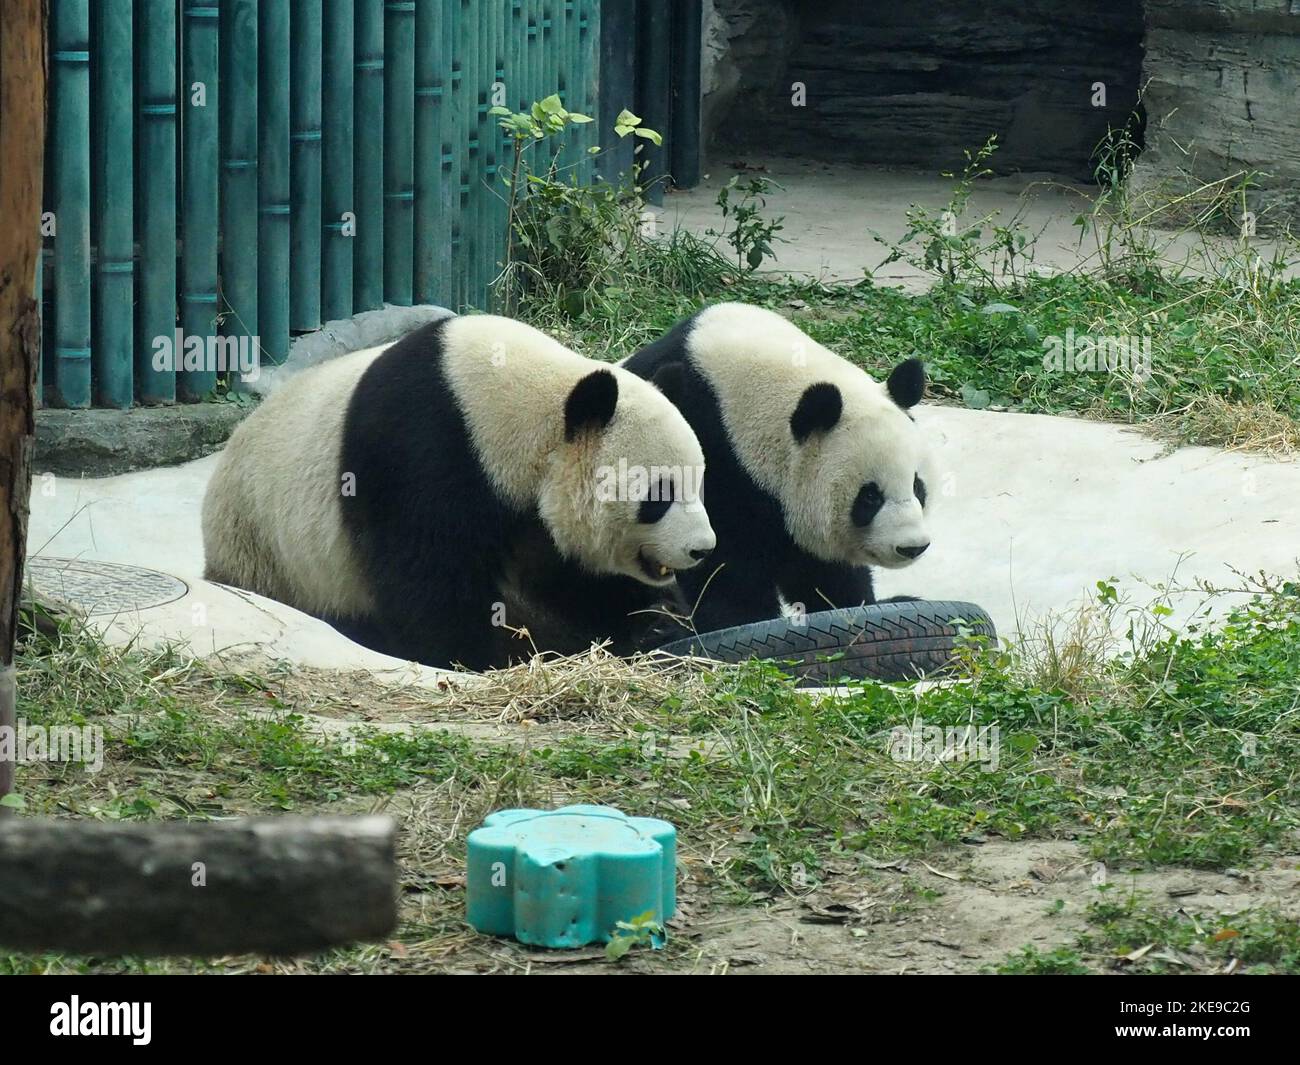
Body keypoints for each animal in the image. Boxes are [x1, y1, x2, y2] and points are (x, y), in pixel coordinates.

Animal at [202, 314, 717, 670]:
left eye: (698, 483)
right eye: (659, 495)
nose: (702, 549)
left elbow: (569, 576)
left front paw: (656, 620)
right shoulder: (424, 452)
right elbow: (428, 580)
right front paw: (475, 658)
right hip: (275, 555)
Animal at [619, 302, 935, 633]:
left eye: (917, 486)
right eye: (870, 497)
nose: (912, 546)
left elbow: (821, 570)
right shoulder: (711, 453)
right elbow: (723, 563)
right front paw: (745, 622)